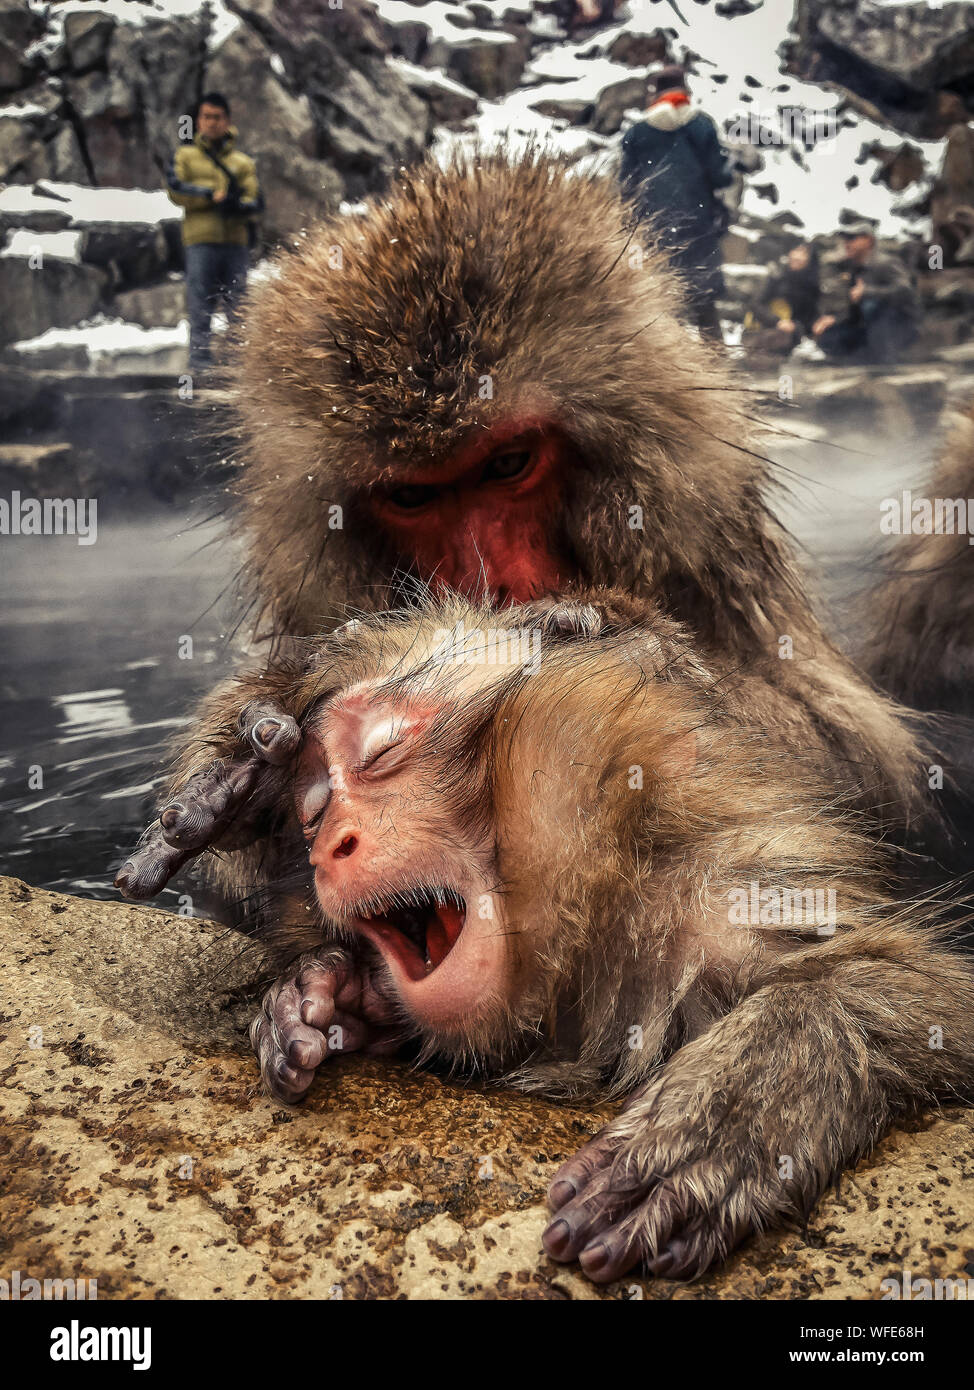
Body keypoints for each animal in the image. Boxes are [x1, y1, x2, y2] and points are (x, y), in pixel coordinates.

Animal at [114, 149, 927, 907]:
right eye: (411, 496)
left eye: (507, 464)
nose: (488, 590)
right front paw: (241, 765)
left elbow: (868, 770)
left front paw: (630, 643)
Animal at [121, 593, 974, 1284]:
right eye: (313, 808)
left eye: (383, 751)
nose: (330, 841)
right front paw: (323, 996)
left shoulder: (725, 906)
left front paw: (750, 1097)